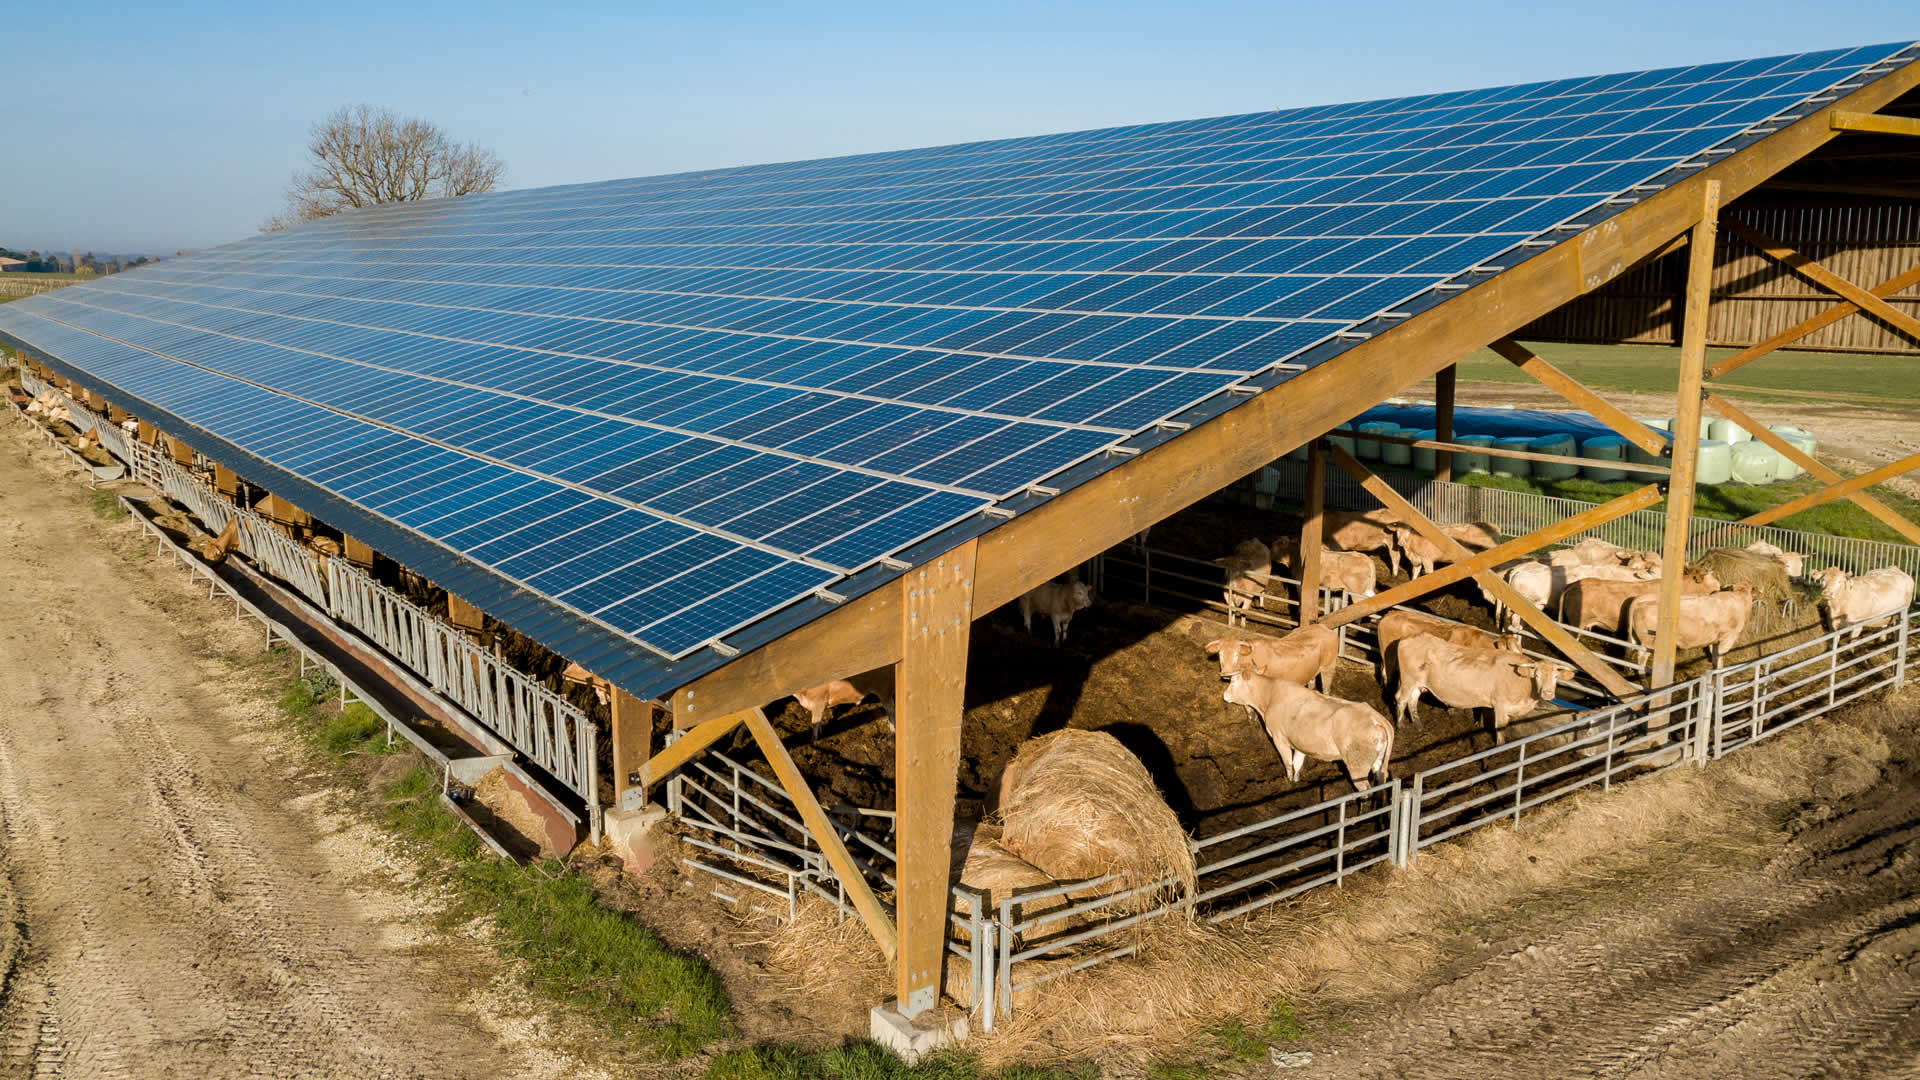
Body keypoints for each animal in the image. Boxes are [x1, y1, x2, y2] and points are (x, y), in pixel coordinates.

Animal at [1228, 664, 1397, 791]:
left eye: (1233, 681)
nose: (1225, 695)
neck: (1270, 696)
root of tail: (1374, 716)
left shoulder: (1279, 738)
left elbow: (1288, 763)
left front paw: (1289, 782)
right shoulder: (1299, 743)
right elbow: (1297, 763)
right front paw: (1296, 783)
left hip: (1357, 766)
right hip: (1377, 760)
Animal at [1397, 634, 1574, 745]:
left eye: (1556, 677)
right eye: (1537, 675)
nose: (1548, 693)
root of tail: (1411, 638)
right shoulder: (1500, 706)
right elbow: (1500, 728)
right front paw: (1500, 747)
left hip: (1418, 684)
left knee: (1412, 700)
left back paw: (1418, 725)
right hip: (1408, 680)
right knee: (1401, 699)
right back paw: (1401, 727)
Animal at [1620, 580, 1758, 664]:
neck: (1739, 599)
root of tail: (1640, 602)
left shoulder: (1714, 639)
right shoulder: (1728, 637)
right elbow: (1719, 658)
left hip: (1635, 638)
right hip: (1648, 642)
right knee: (1641, 659)